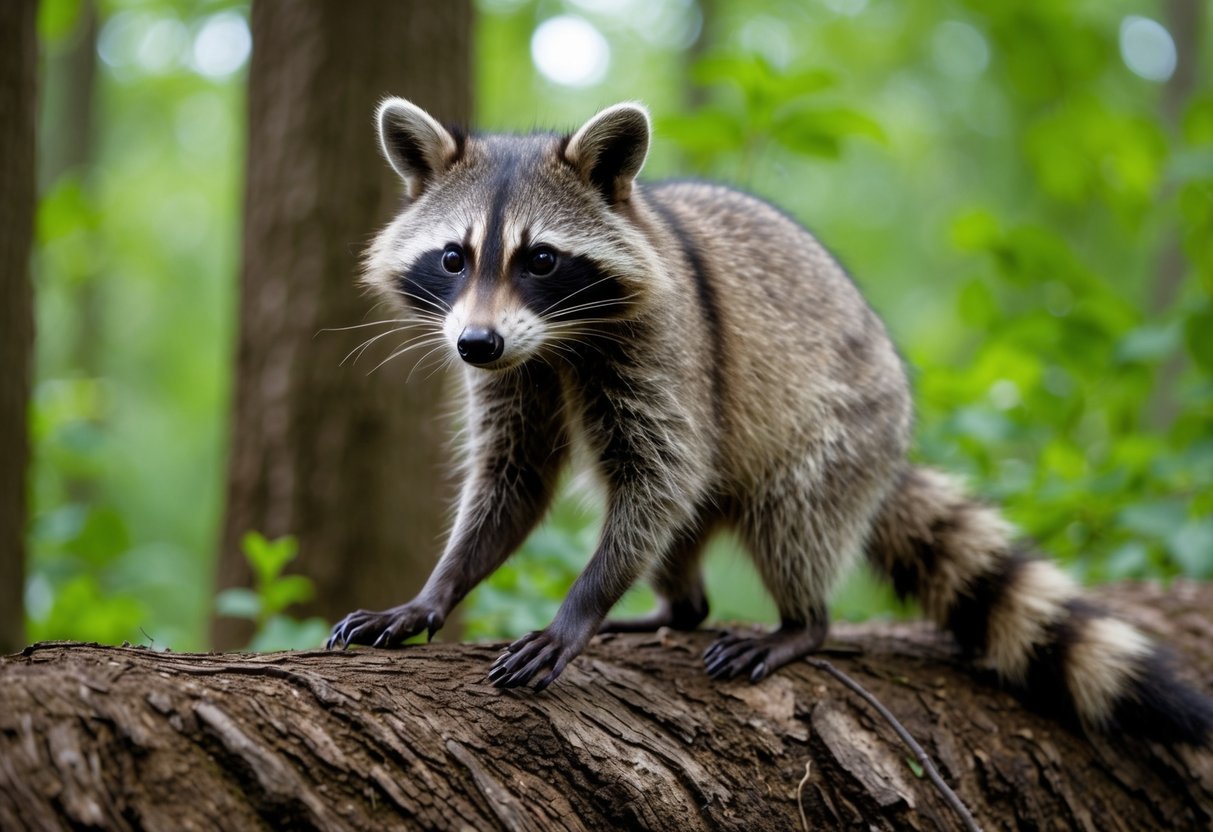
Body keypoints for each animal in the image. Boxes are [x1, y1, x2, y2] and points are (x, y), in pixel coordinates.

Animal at [327, 98, 1213, 744]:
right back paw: (676, 606)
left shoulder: (665, 348)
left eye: (540, 259)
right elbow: (514, 481)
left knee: (789, 520)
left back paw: (799, 622)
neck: (556, 341)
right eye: (453, 257)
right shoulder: (518, 373)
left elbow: (660, 476)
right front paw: (435, 590)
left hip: (843, 431)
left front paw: (581, 603)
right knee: (680, 533)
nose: (475, 345)